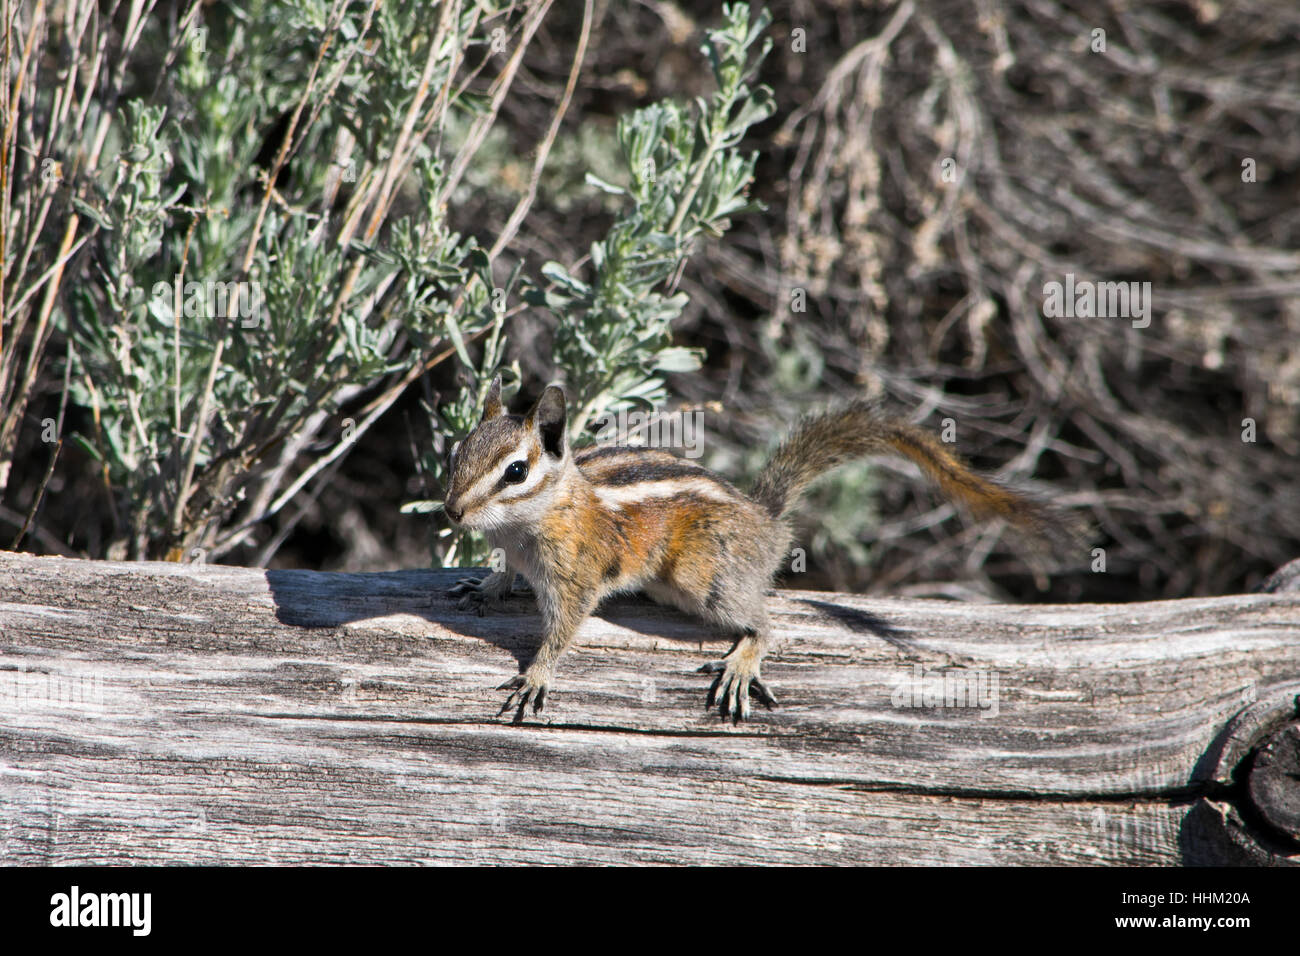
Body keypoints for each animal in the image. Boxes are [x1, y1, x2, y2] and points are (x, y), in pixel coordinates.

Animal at [443, 376, 1073, 723]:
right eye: (456, 452)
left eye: (516, 471)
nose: (451, 511)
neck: (535, 517)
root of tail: (765, 521)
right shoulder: (514, 552)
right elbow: (504, 573)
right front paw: (484, 585)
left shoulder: (575, 575)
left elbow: (563, 628)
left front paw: (537, 674)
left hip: (701, 575)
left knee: (765, 622)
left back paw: (743, 661)